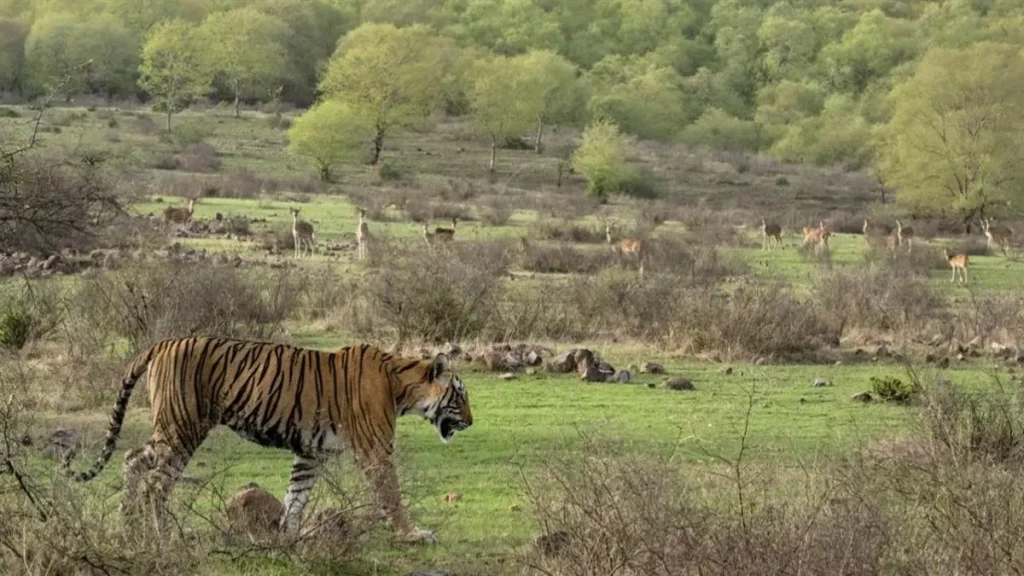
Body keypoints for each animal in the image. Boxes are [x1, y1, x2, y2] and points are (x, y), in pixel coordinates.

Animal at [63, 337, 473, 543]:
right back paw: (163, 535)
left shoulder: (310, 453)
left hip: (169, 431)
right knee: (156, 485)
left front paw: (287, 537)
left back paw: (128, 525)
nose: (471, 422)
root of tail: (162, 343)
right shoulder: (376, 450)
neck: (403, 387)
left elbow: (296, 496)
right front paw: (412, 534)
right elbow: (392, 495)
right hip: (182, 429)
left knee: (131, 459)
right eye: (461, 395)